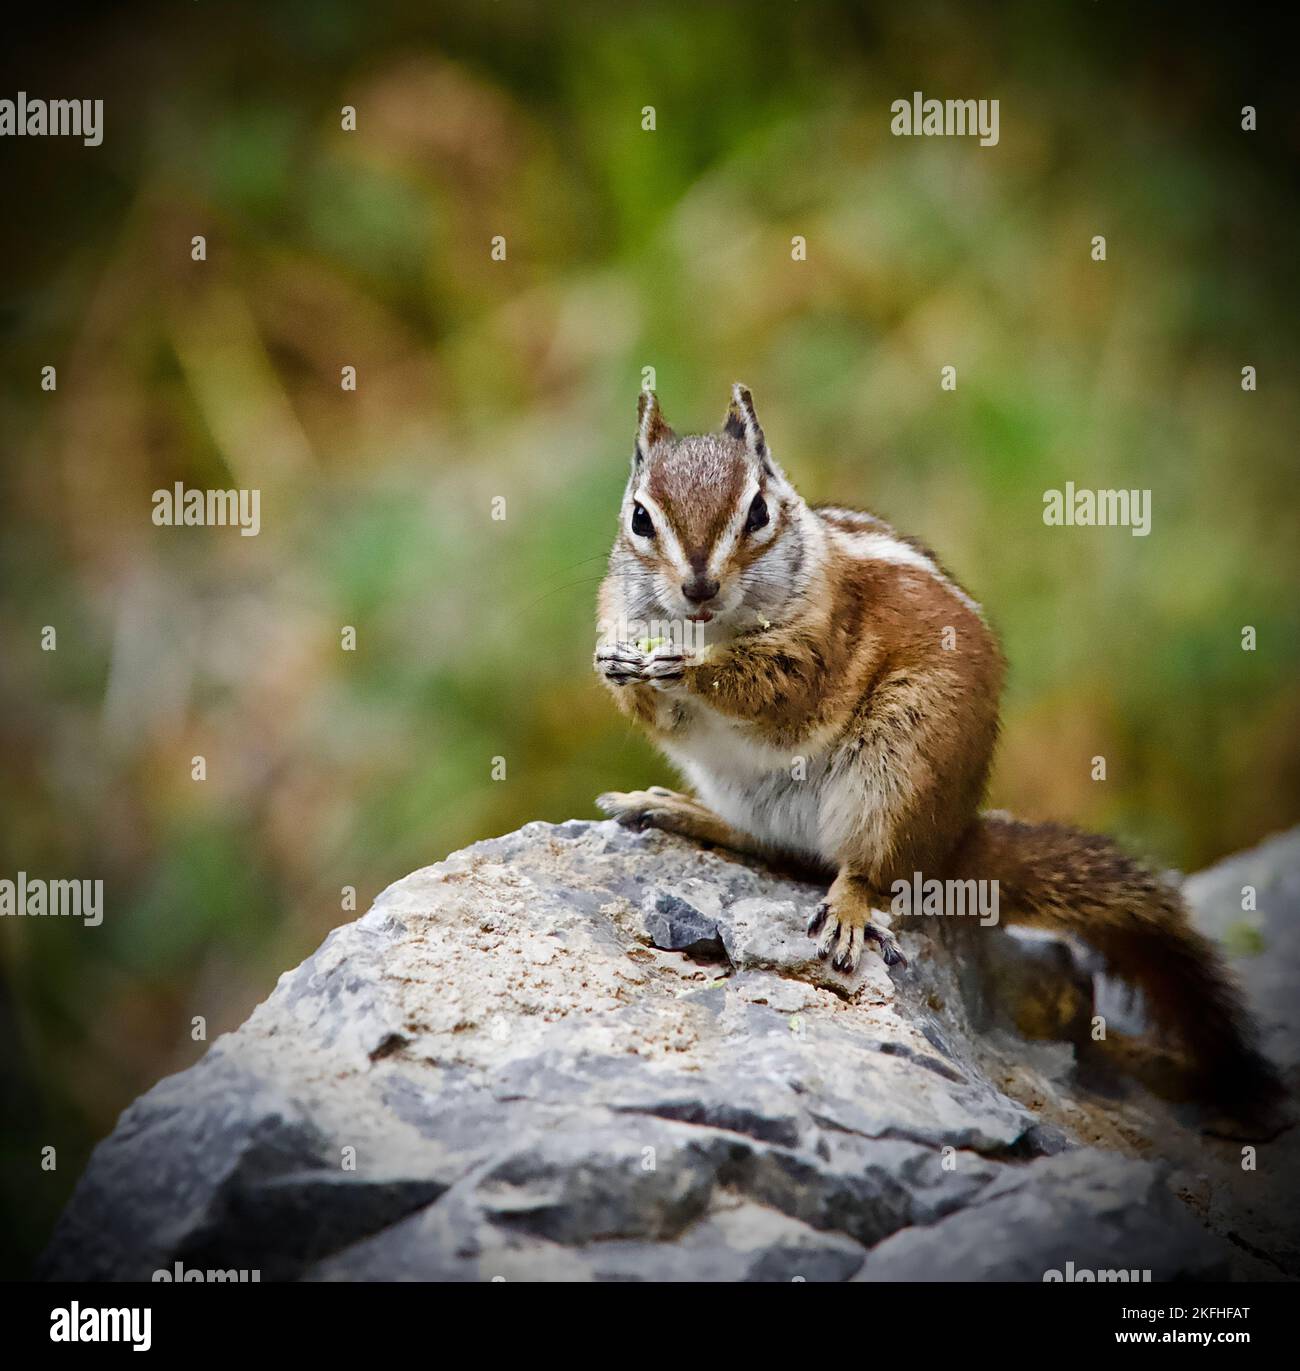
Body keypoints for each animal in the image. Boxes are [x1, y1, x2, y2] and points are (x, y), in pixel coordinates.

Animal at [594, 382, 1284, 1126]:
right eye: (639, 517)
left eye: (757, 513)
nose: (698, 587)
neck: (711, 625)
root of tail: (954, 839)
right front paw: (619, 666)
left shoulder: (819, 644)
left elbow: (772, 686)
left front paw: (687, 667)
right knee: (775, 846)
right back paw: (675, 809)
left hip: (898, 764)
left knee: (864, 869)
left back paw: (849, 909)